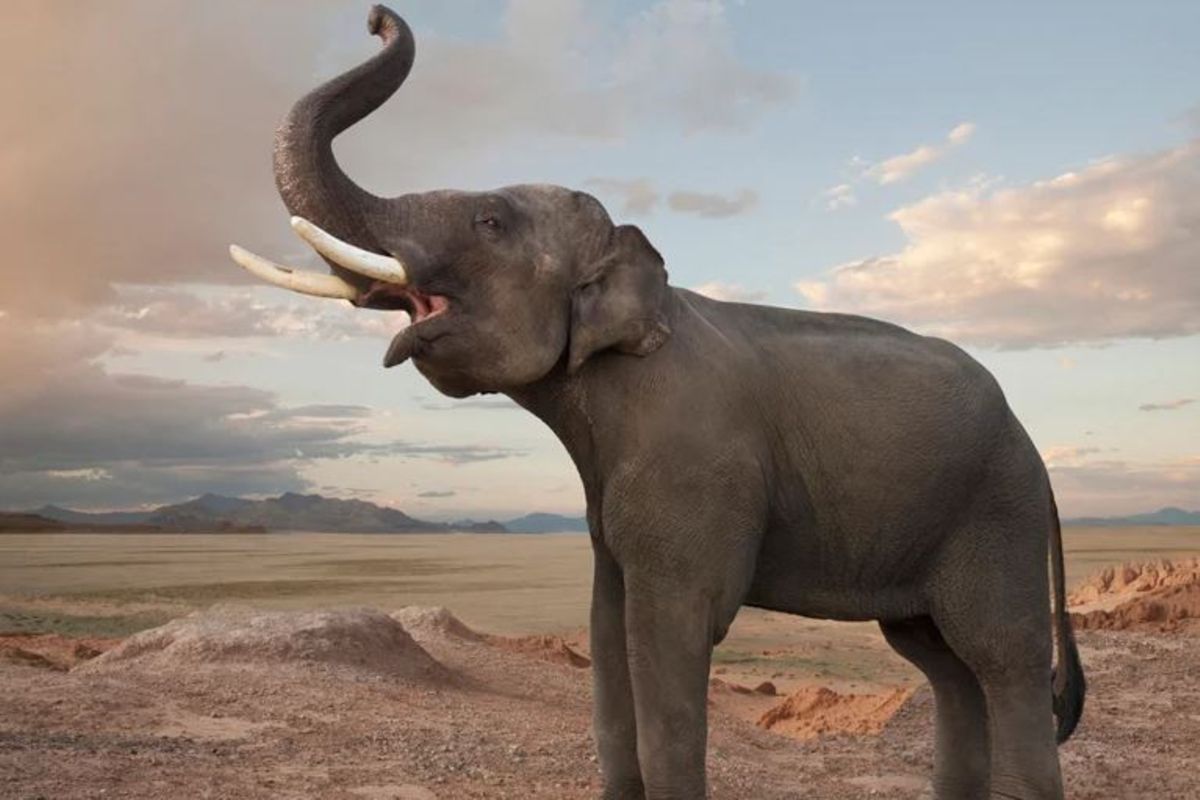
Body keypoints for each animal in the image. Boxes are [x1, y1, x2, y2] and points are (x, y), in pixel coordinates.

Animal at [231, 6, 1085, 799]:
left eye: (490, 220)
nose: (374, 17)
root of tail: (1035, 453)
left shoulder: (689, 473)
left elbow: (669, 637)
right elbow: (608, 634)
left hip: (994, 513)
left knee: (1000, 660)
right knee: (941, 662)